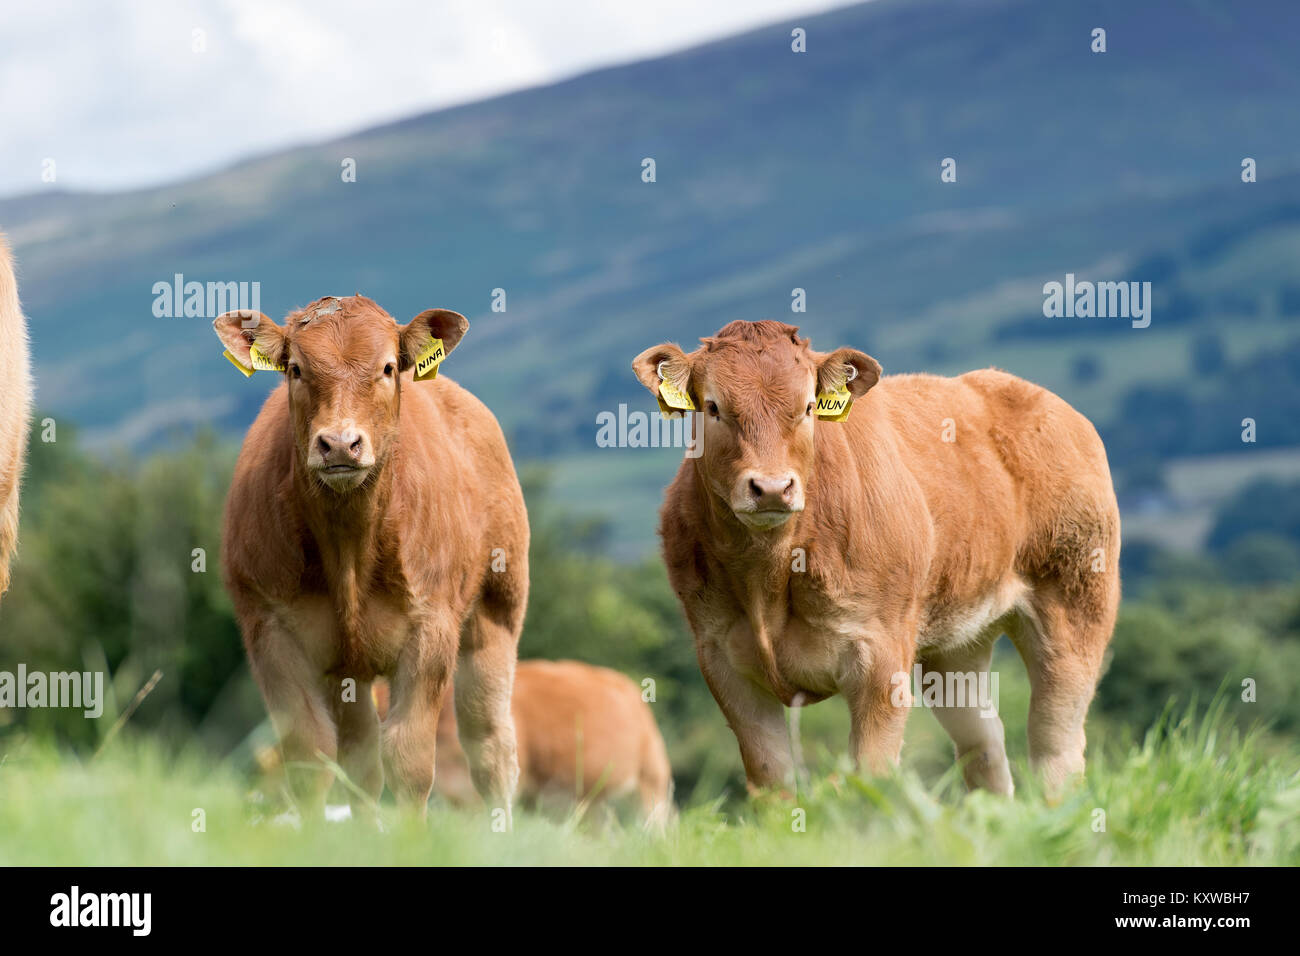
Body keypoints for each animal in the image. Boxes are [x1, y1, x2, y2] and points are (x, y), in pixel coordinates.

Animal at [214, 295, 528, 822]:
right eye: (295, 369)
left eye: (386, 367)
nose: (341, 443)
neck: (348, 550)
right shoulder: (269, 630)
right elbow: (313, 756)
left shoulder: (431, 628)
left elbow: (409, 761)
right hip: (348, 668)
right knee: (360, 760)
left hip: (496, 612)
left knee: (490, 748)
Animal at [632, 320, 1120, 798]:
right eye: (713, 407)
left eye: (807, 407)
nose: (771, 488)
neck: (768, 577)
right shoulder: (722, 660)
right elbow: (773, 782)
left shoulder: (880, 653)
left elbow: (871, 774)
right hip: (958, 640)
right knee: (983, 741)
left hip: (1076, 604)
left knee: (1055, 744)